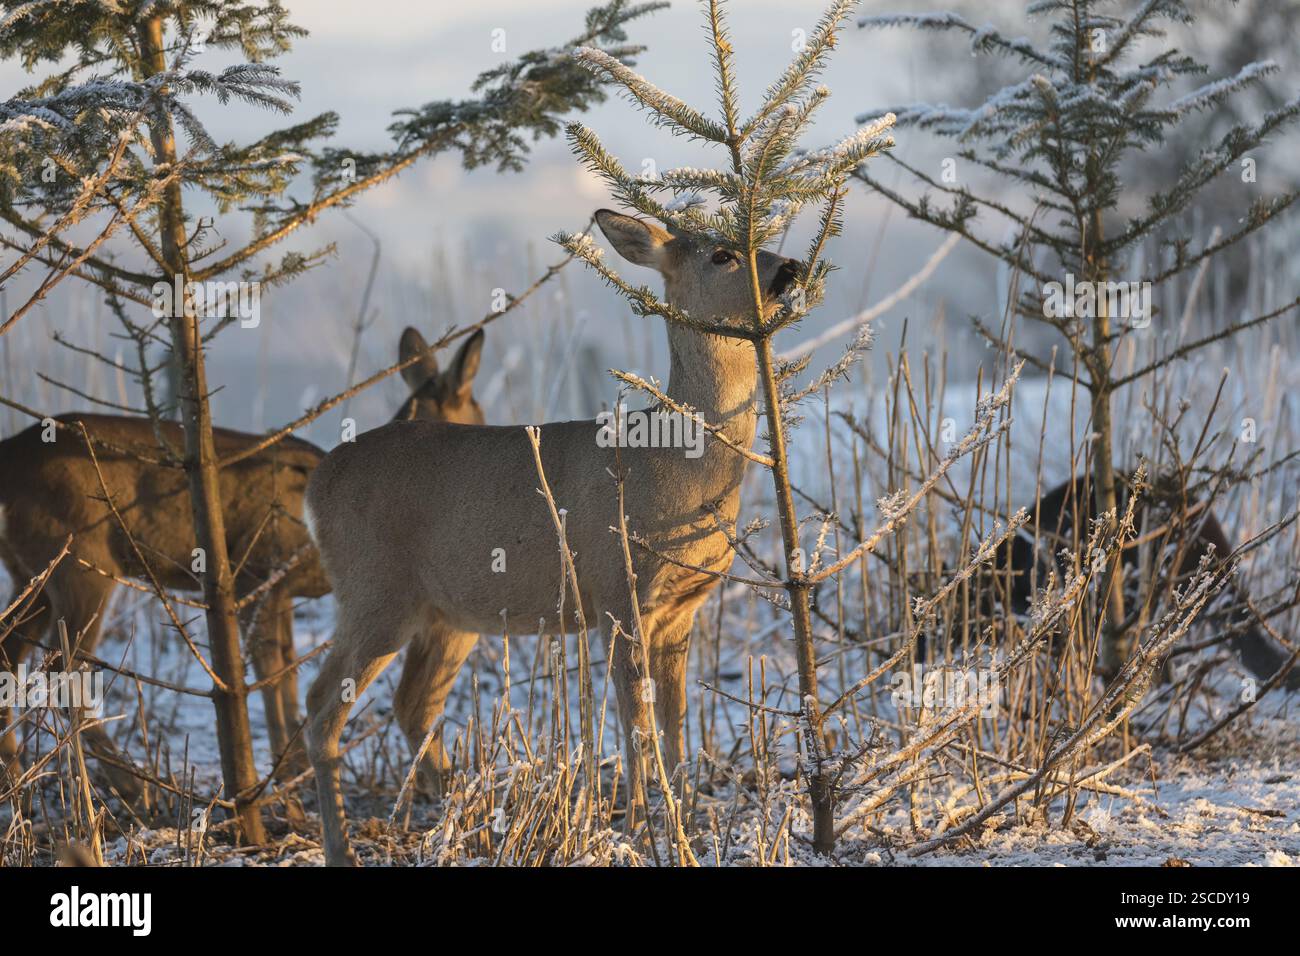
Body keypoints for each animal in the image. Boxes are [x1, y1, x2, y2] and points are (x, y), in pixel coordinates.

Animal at [0, 327, 486, 802]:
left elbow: (287, 675)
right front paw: (288, 776)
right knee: (65, 672)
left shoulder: (280, 589)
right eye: (476, 412)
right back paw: (135, 787)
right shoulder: (256, 570)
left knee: (9, 652)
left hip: (31, 574)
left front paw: (294, 768)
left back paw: (17, 779)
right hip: (80, 562)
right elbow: (271, 674)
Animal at [302, 209, 801, 865]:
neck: (676, 466)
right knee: (320, 708)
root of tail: (317, 484)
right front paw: (638, 829)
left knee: (412, 702)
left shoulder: (681, 607)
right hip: (374, 589)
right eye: (721, 254)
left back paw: (471, 820)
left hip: (449, 613)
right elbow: (633, 726)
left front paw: (687, 822)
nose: (792, 268)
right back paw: (346, 847)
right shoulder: (618, 591)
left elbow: (674, 726)